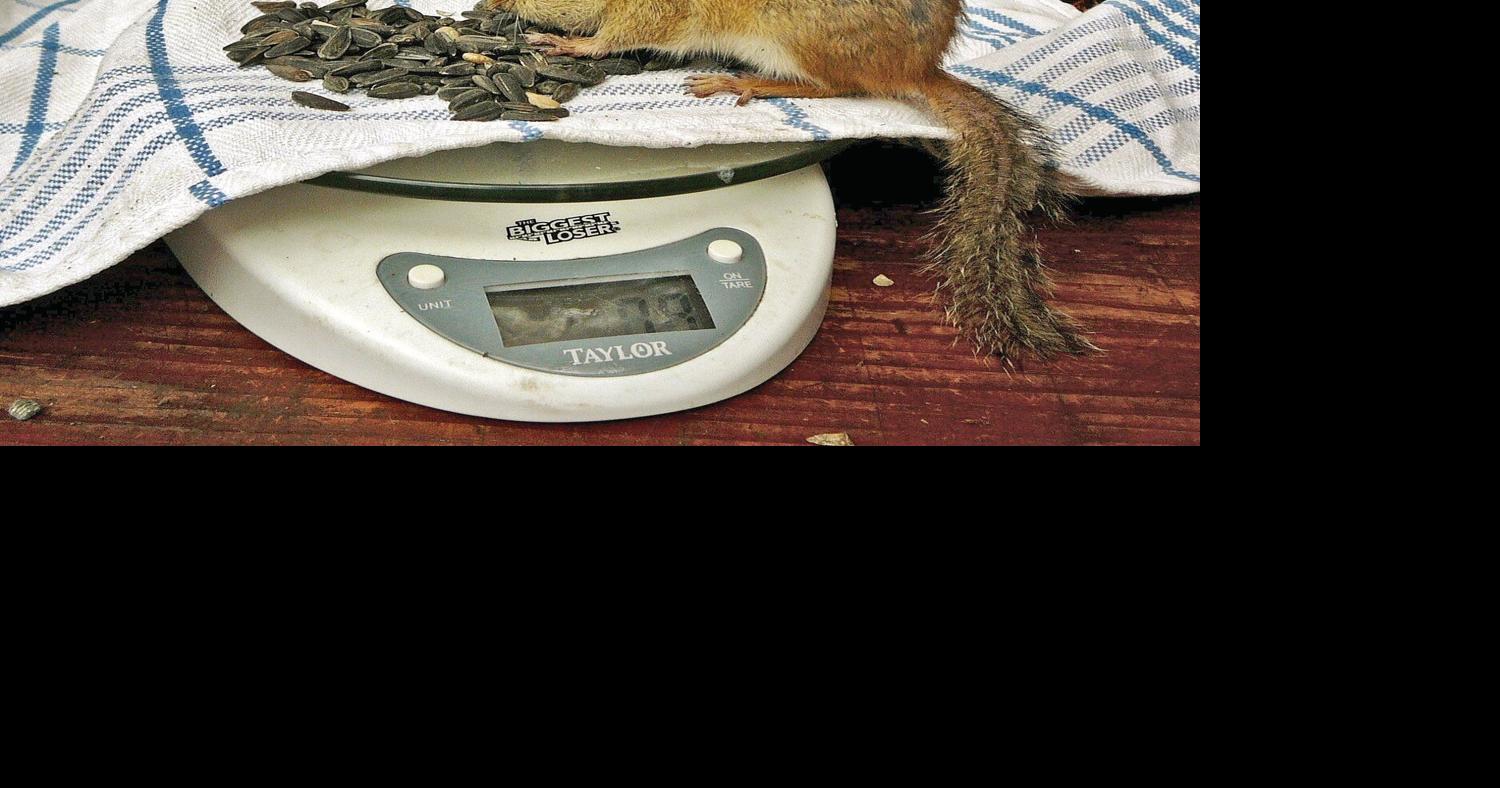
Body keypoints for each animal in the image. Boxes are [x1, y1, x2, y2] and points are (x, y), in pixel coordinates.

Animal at [487, 0, 1098, 363]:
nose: (494, 4)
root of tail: (917, 71)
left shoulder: (653, 11)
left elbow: (616, 36)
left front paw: (571, 46)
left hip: (790, 38)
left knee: (835, 88)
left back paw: (747, 82)